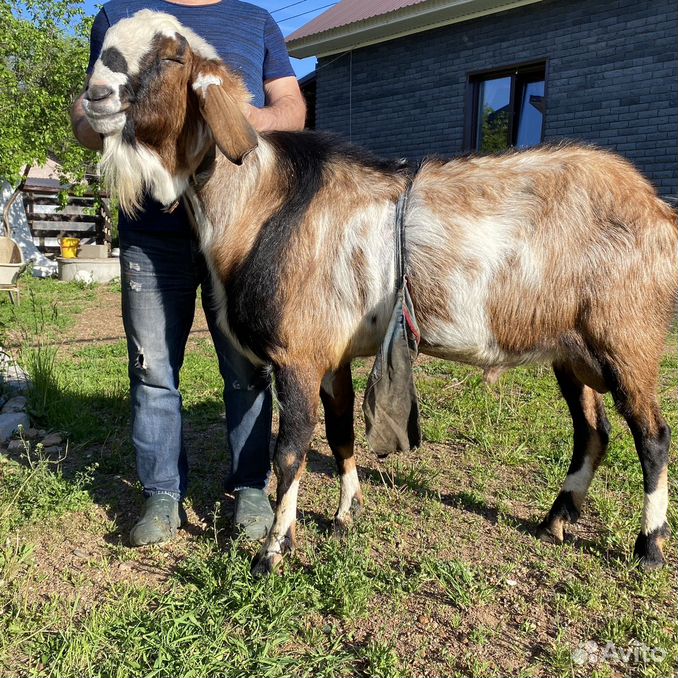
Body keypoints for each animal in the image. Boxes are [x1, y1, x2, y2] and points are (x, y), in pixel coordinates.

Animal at [85, 9, 678, 572]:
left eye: (171, 56)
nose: (94, 96)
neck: (261, 202)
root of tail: (658, 210)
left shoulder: (298, 355)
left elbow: (290, 451)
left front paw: (273, 550)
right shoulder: (333, 354)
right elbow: (341, 432)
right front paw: (345, 515)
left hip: (628, 337)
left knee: (652, 434)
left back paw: (648, 545)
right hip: (570, 348)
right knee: (593, 432)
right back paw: (555, 520)